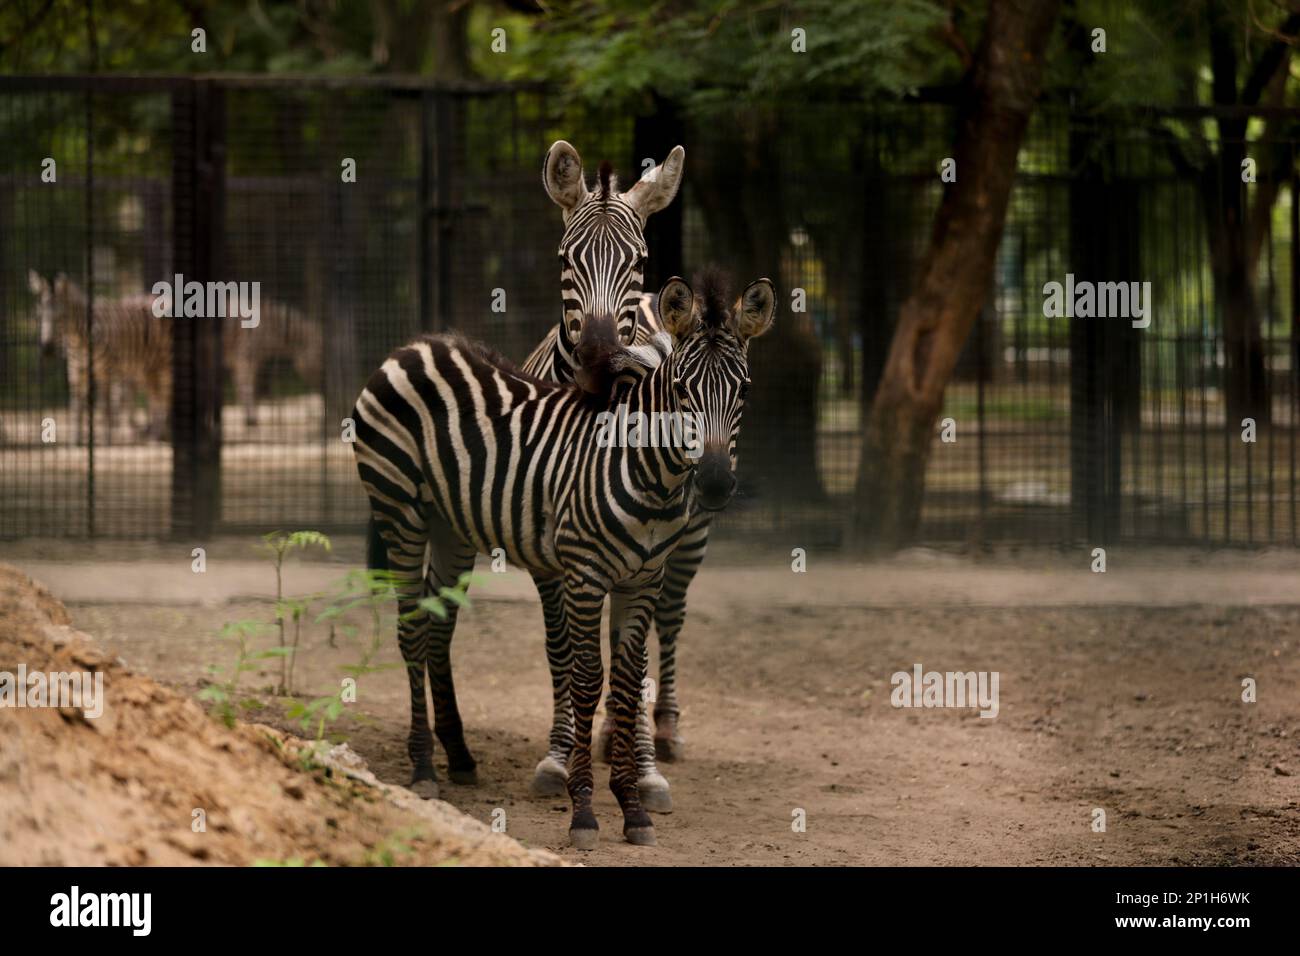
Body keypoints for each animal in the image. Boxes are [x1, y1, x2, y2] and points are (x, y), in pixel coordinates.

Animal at [353, 271, 775, 847]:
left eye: (745, 390)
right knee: (413, 630)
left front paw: (633, 809)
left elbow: (626, 684)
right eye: (683, 390)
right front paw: (584, 811)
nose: (712, 484)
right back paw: (422, 767)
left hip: (450, 526)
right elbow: (587, 680)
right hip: (400, 510)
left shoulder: (643, 580)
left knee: (439, 629)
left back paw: (458, 756)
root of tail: (413, 346)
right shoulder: (585, 576)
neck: (648, 474)